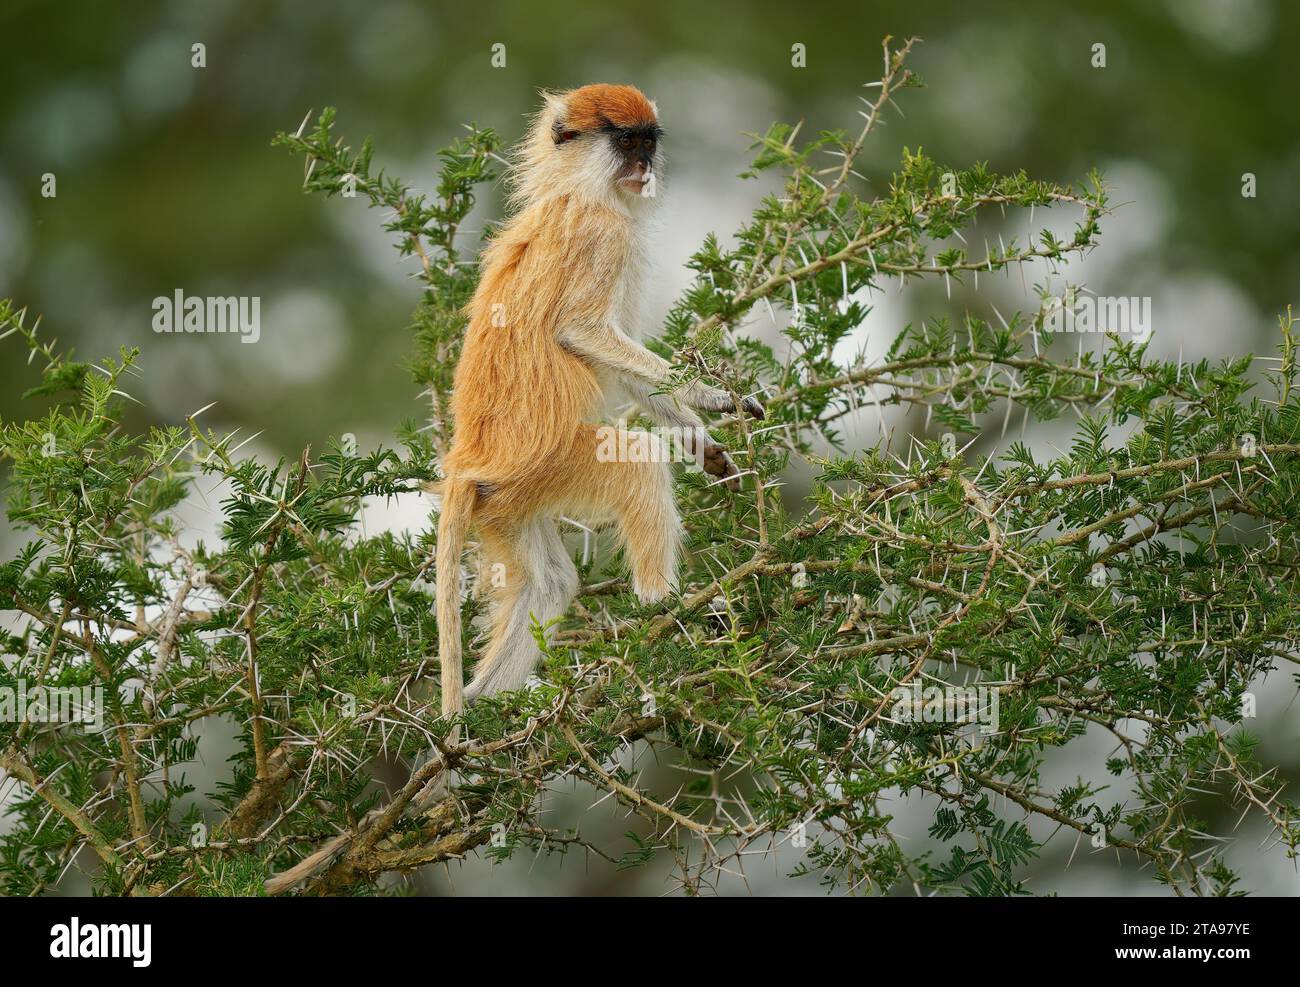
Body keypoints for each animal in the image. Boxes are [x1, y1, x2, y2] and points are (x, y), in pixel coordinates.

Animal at [435, 84, 763, 717]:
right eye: (626, 142)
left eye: (648, 143)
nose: (644, 170)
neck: (575, 187)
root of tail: (469, 458)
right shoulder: (606, 235)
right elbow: (583, 333)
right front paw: (715, 398)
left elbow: (626, 366)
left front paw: (703, 444)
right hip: (550, 464)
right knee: (636, 464)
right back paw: (663, 605)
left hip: (505, 498)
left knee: (549, 584)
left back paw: (482, 721)